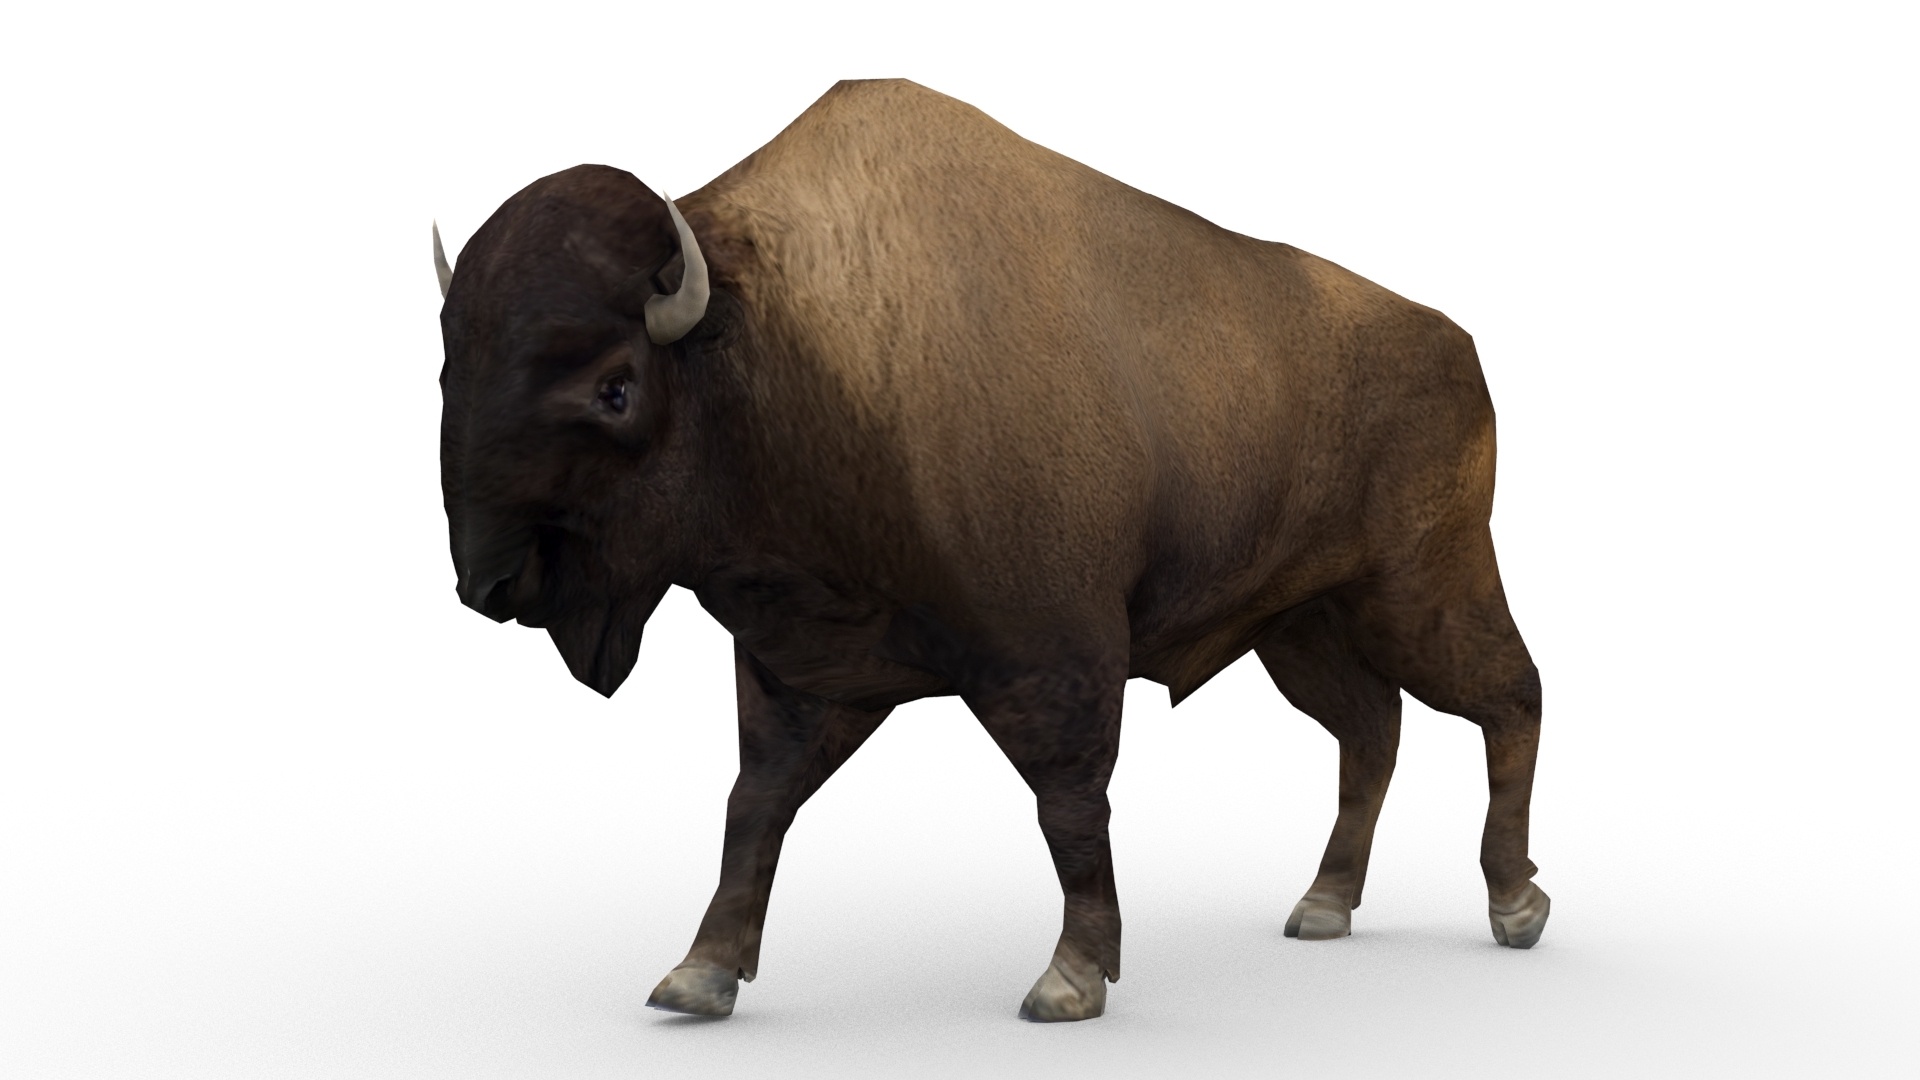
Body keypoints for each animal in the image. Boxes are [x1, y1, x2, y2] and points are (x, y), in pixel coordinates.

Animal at [434, 79, 1548, 1022]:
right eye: (450, 371)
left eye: (616, 387)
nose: (491, 584)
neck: (780, 344)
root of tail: (1457, 346)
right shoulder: (804, 669)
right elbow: (754, 808)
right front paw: (697, 977)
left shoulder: (1053, 661)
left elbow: (1069, 808)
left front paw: (1070, 981)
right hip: (1300, 627)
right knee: (1371, 731)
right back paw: (1322, 906)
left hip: (1421, 593)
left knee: (1509, 697)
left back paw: (1514, 908)